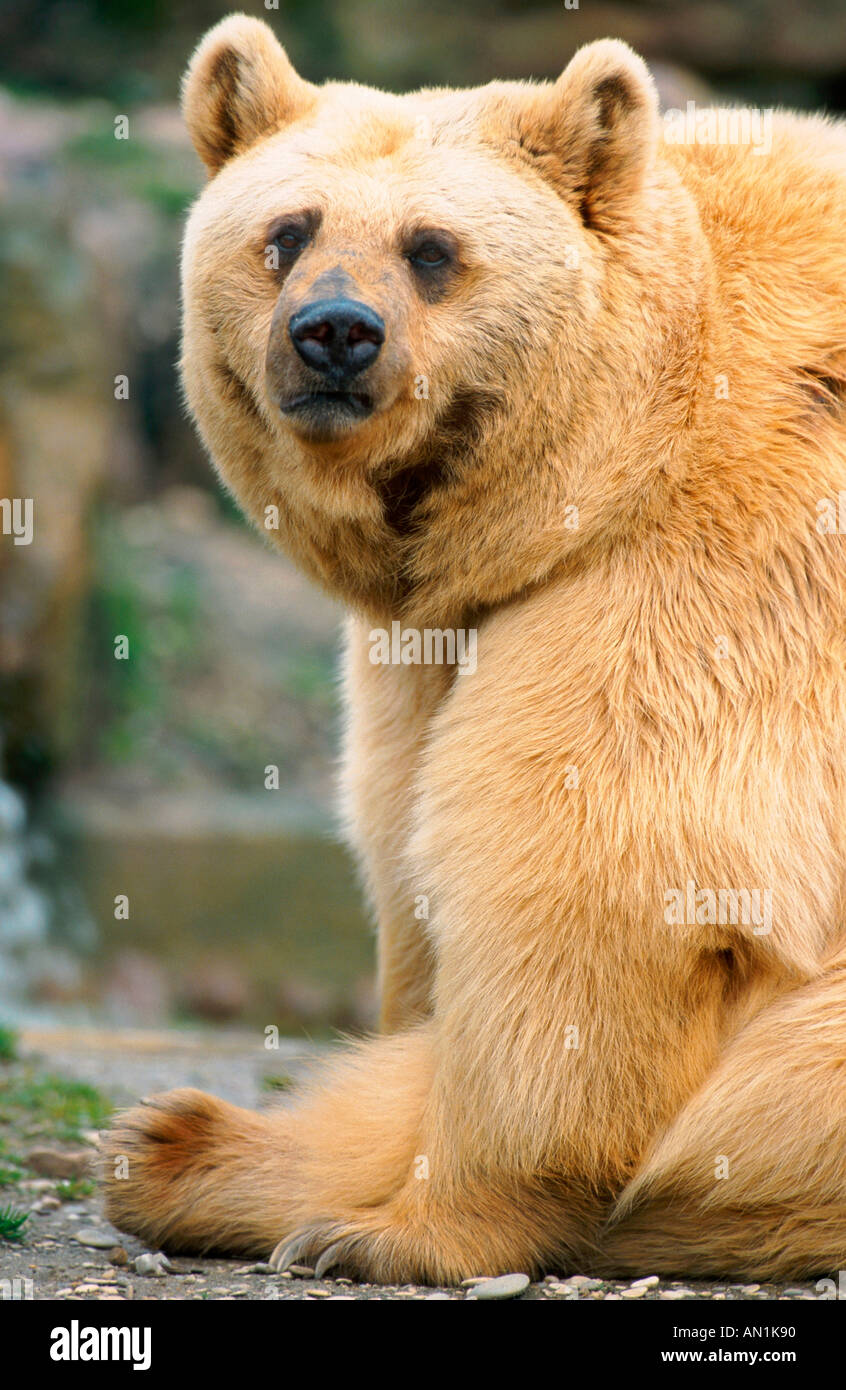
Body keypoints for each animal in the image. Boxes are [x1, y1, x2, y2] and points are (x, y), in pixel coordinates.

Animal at [102, 13, 846, 1284]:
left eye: (431, 249)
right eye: (285, 232)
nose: (334, 335)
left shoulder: (724, 558)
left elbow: (587, 869)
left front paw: (404, 1225)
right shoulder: (435, 634)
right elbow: (409, 838)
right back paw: (178, 1144)